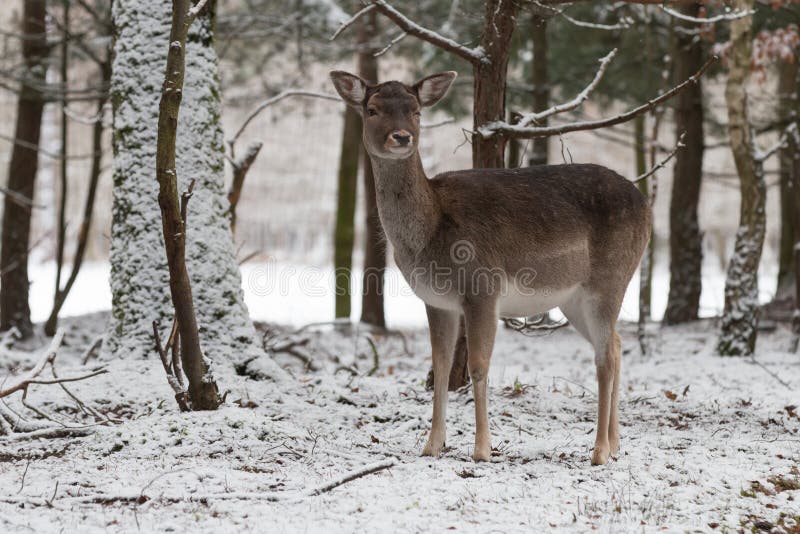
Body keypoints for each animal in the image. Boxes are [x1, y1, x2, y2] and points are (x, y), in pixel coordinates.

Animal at [329, 70, 651, 465]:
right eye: (372, 109)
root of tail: (647, 205)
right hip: (572, 300)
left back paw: (600, 451)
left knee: (604, 356)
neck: (430, 230)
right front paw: (431, 445)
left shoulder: (482, 286)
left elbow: (479, 365)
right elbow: (440, 366)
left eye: (416, 111)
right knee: (617, 345)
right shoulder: (435, 300)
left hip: (610, 277)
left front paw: (482, 450)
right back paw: (617, 443)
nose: (402, 137)